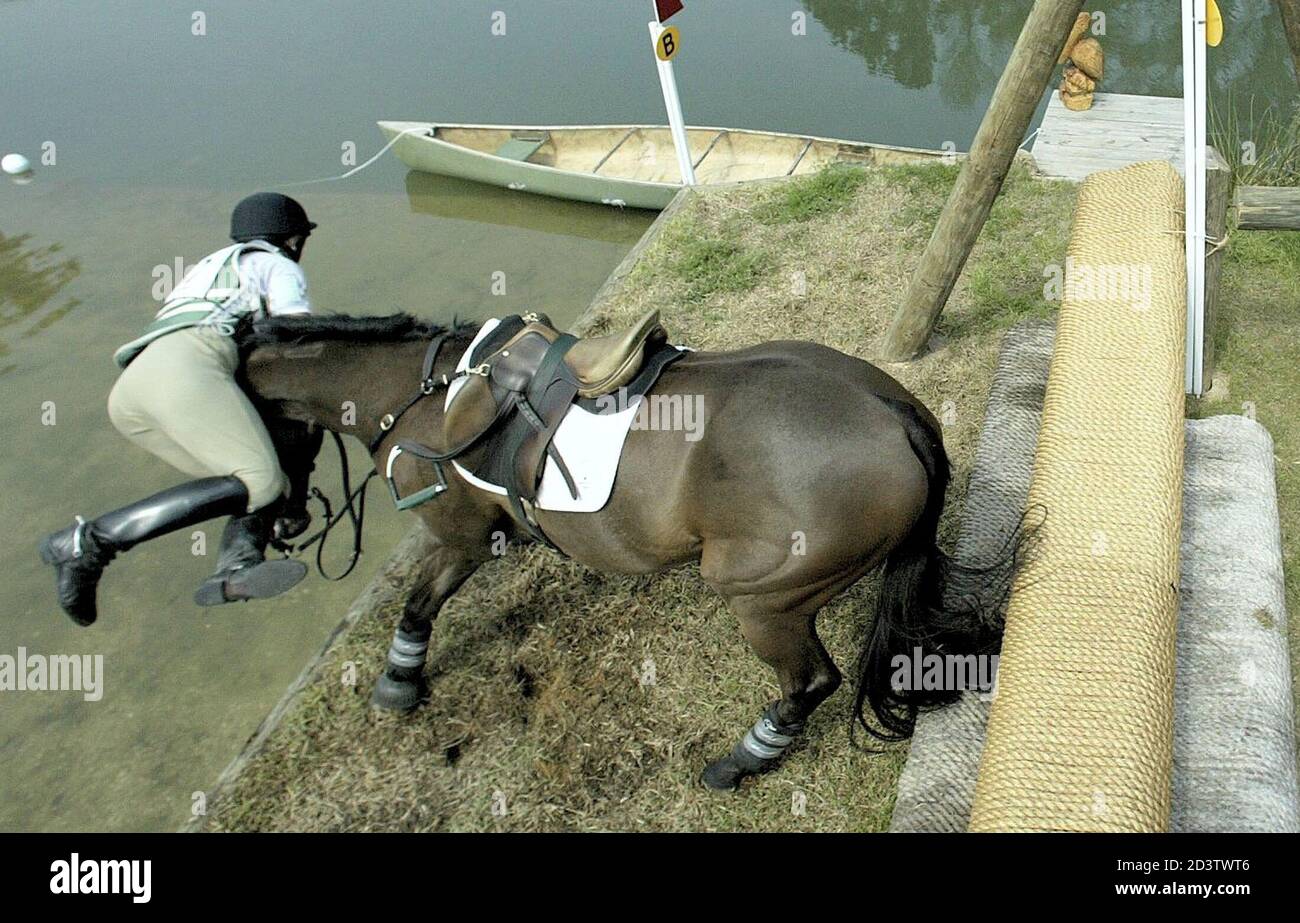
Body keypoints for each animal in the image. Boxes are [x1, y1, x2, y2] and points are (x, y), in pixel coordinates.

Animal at [238, 312, 1011, 791]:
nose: (281, 522)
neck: (425, 396)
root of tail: (898, 415)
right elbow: (420, 601)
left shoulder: (463, 537)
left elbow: (419, 598)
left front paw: (399, 677)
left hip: (763, 596)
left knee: (811, 681)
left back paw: (741, 760)